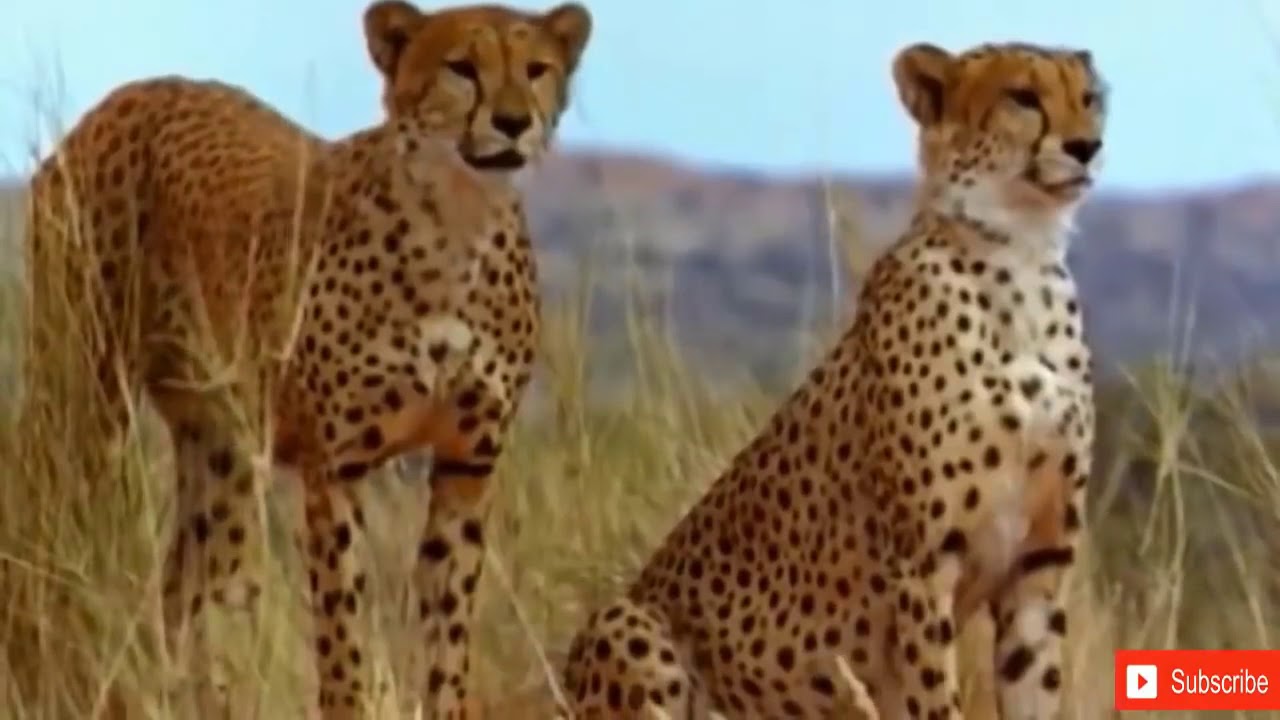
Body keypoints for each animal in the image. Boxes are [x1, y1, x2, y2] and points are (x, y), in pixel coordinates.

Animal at [21, 1, 591, 718]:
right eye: (461, 66)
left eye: (536, 68)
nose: (514, 122)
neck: (455, 228)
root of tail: (134, 92)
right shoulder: (335, 469)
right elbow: (343, 621)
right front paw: (350, 699)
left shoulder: (468, 464)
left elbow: (448, 627)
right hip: (86, 396)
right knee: (47, 533)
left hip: (223, 444)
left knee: (186, 584)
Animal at [557, 40, 1105, 720]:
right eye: (1022, 97)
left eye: (1090, 97)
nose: (1087, 146)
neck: (1022, 258)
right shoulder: (921, 567)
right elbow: (935, 698)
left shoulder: (1038, 566)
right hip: (626, 623)